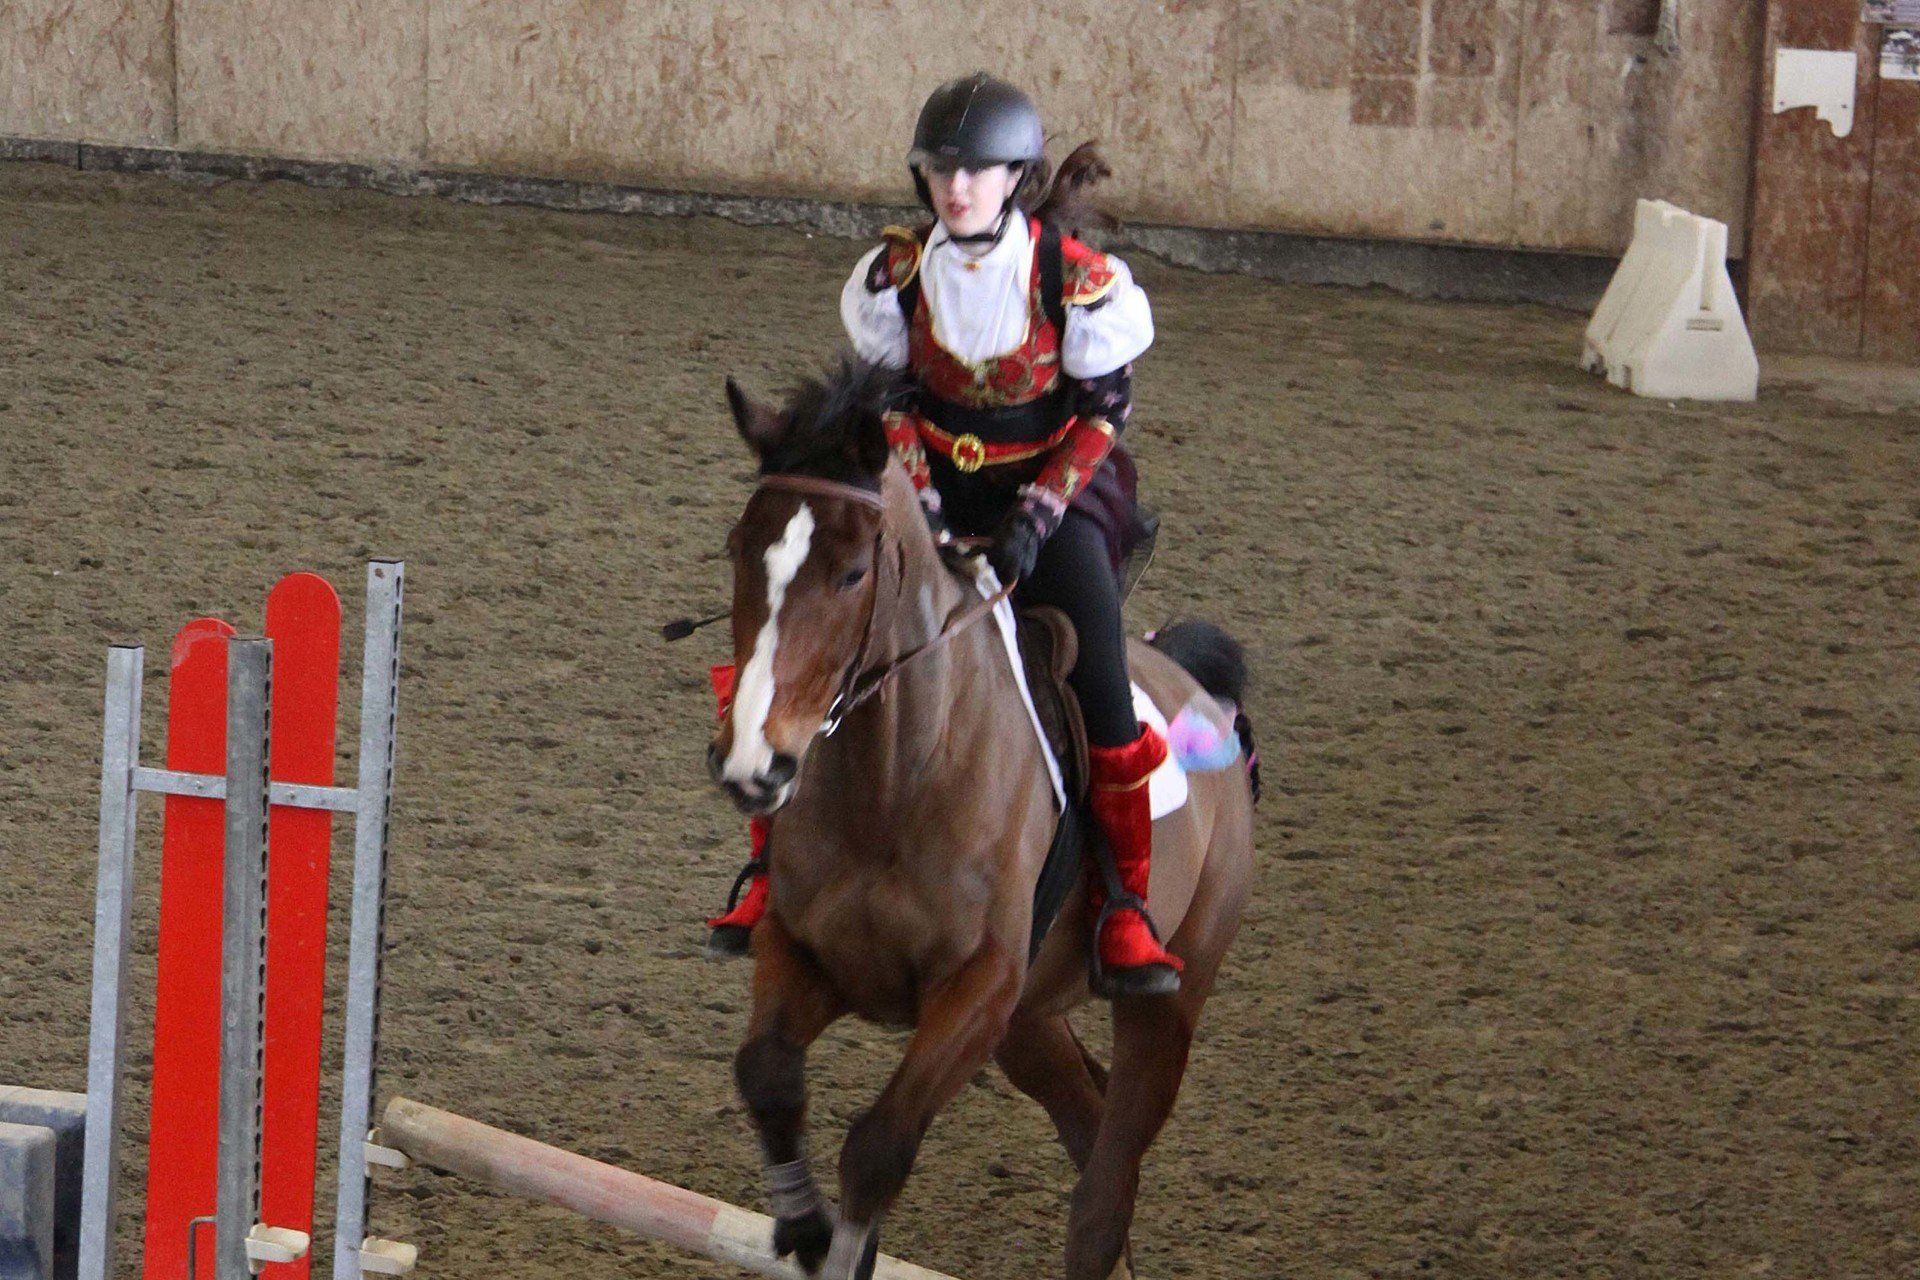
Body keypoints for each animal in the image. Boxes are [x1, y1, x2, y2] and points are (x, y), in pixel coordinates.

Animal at [705, 360, 1255, 1280]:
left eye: (851, 575)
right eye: (739, 552)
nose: (754, 763)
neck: (896, 781)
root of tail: (1203, 689)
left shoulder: (977, 988)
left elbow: (879, 1145)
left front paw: (847, 1244)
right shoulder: (805, 951)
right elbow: (767, 1074)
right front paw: (807, 1230)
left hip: (1166, 1000)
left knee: (1107, 1181)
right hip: (1031, 1020)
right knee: (1086, 1116)